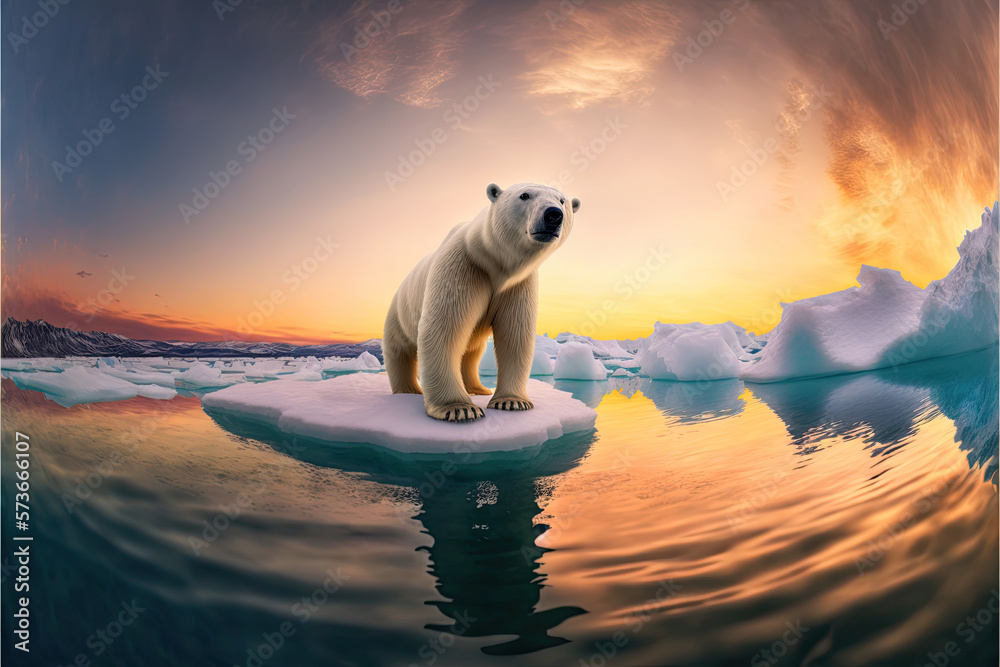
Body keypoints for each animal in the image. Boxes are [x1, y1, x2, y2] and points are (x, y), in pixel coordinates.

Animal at [383, 182, 581, 422]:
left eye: (562, 200)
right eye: (524, 195)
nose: (553, 214)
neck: (494, 262)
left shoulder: (518, 284)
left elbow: (515, 334)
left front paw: (512, 402)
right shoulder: (463, 267)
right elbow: (444, 328)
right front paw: (459, 408)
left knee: (471, 353)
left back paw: (478, 389)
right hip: (399, 310)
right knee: (399, 349)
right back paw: (408, 390)